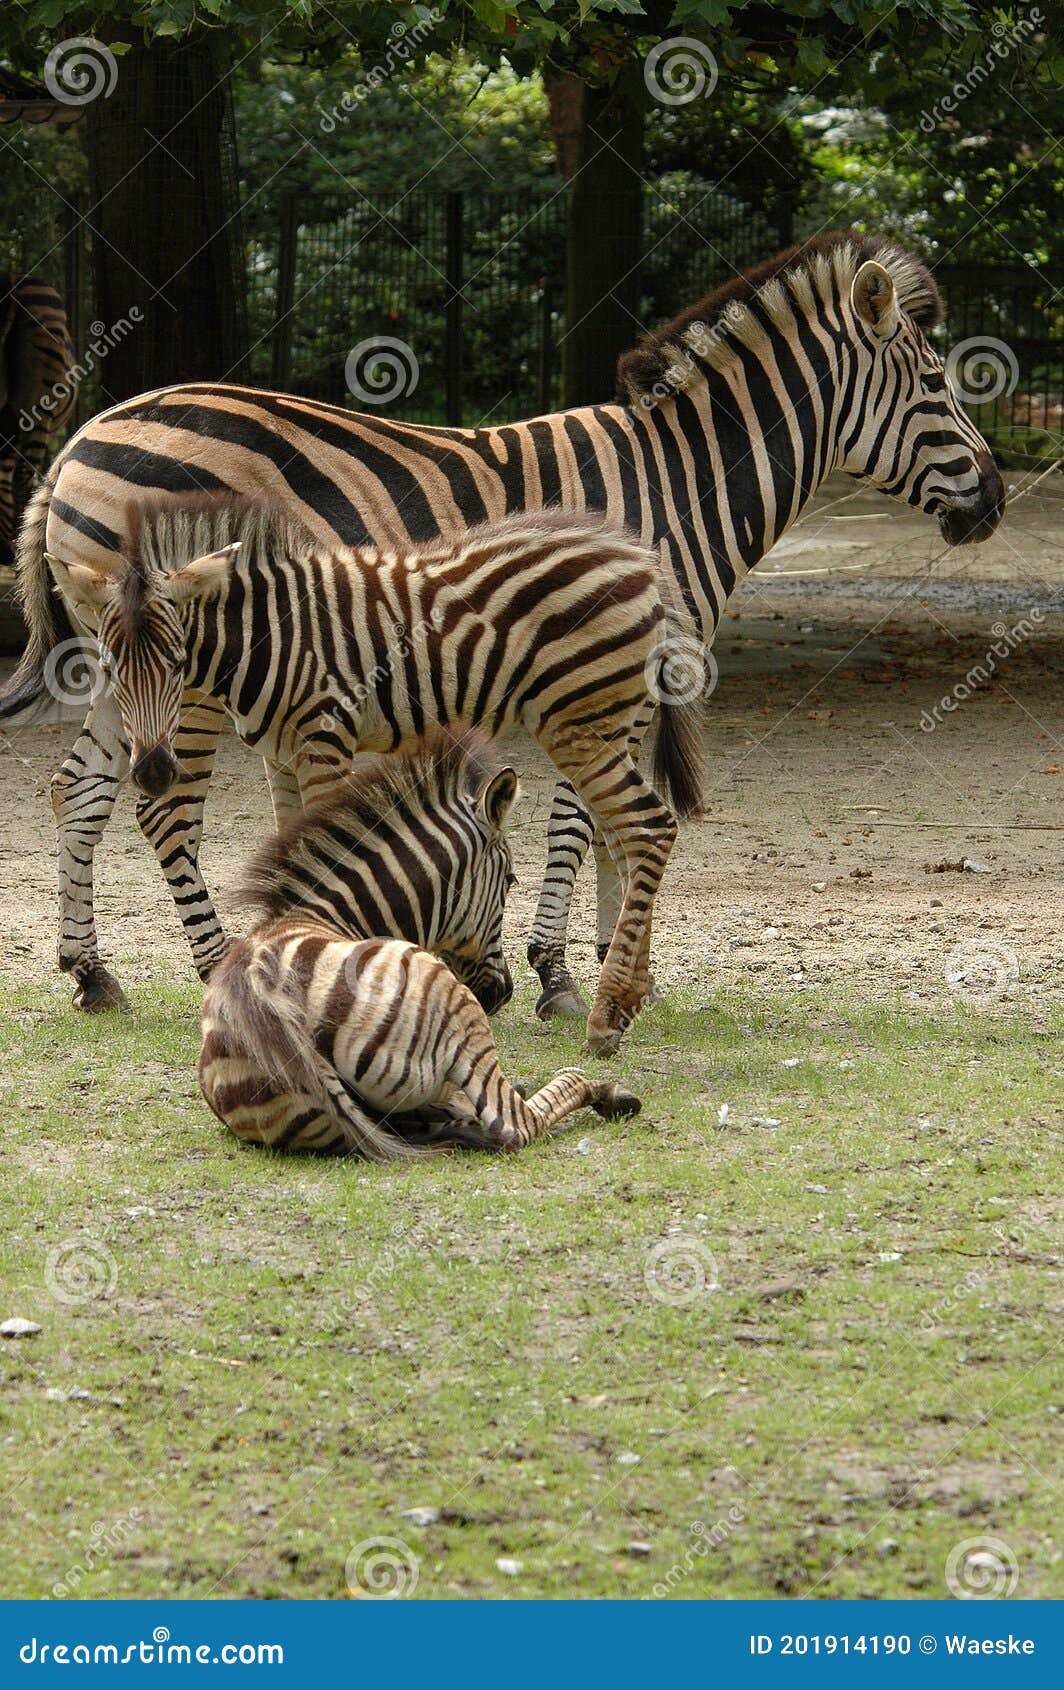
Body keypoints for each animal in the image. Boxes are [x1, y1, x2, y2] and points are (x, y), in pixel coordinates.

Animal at [43, 500, 705, 1054]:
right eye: (108, 666)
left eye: (179, 662)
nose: (154, 769)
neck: (268, 636)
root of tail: (643, 563)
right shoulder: (284, 751)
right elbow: (295, 843)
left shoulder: (323, 738)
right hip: (617, 722)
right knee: (624, 834)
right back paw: (631, 995)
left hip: (581, 723)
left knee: (647, 826)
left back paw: (607, 1015)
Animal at [200, 733, 640, 1155]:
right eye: (511, 880)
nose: (502, 993)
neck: (330, 915)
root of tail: (273, 1015)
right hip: (455, 1004)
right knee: (516, 1123)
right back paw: (608, 1093)